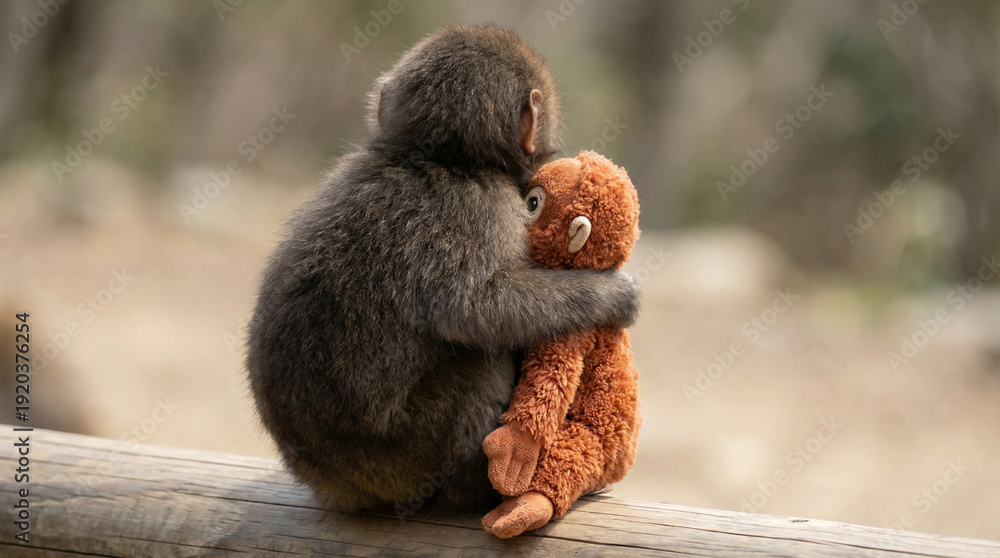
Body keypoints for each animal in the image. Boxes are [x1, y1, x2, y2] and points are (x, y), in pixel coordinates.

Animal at [245, 24, 640, 513]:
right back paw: (482, 489)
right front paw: (610, 295)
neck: (436, 157)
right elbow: (477, 308)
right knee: (481, 363)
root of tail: (337, 484)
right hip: (405, 452)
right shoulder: (484, 204)